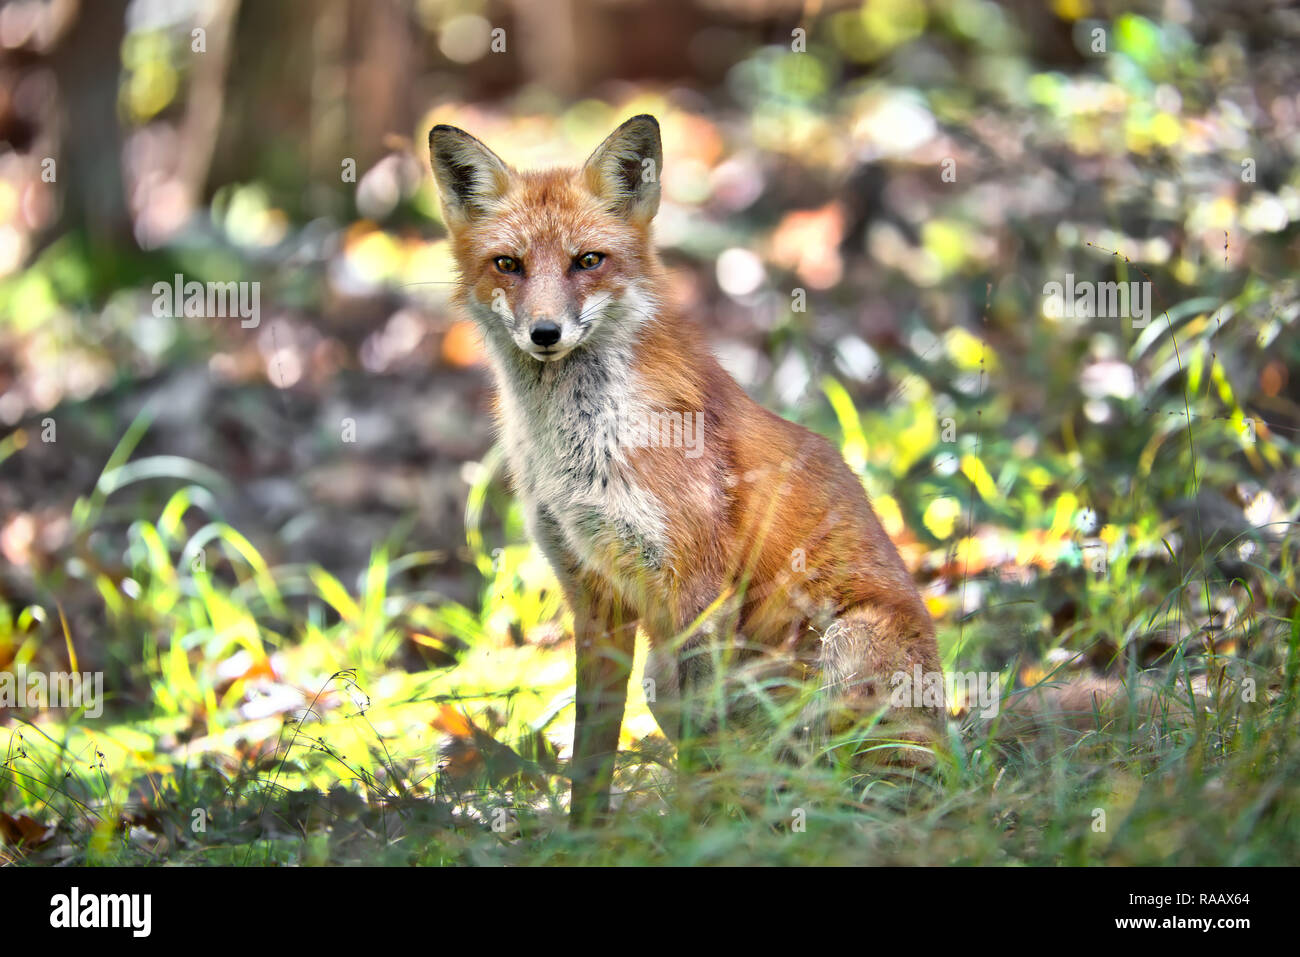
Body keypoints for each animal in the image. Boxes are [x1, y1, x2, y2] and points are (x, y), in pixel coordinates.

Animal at [428, 114, 943, 824]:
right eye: (508, 264)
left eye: (588, 261)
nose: (545, 332)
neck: (579, 448)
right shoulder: (593, 594)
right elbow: (590, 753)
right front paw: (584, 836)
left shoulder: (696, 585)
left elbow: (701, 751)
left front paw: (696, 829)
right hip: (660, 678)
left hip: (846, 648)